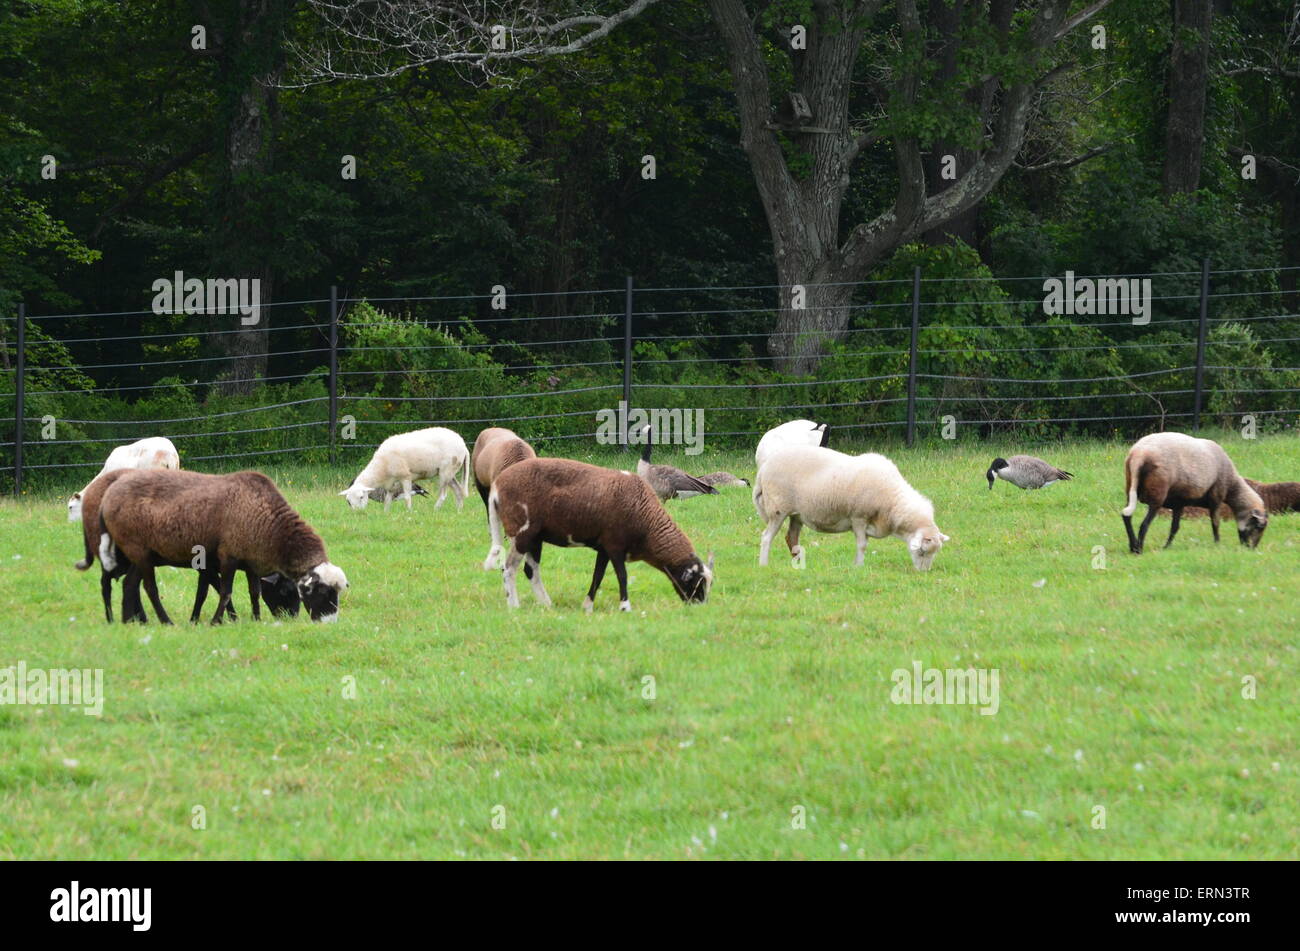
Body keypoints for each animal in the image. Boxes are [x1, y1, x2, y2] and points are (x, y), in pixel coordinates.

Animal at [99, 469, 348, 623]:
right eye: (322, 591)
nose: (328, 623)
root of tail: (108, 496)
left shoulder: (250, 561)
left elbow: (254, 592)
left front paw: (255, 619)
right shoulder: (228, 557)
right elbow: (226, 592)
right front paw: (216, 621)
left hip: (139, 553)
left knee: (130, 584)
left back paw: (127, 621)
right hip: (138, 550)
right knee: (149, 588)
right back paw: (164, 621)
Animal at [486, 457, 714, 612]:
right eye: (696, 582)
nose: (699, 607)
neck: (646, 520)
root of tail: (497, 486)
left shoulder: (604, 547)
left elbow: (598, 576)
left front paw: (587, 606)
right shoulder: (615, 545)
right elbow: (622, 576)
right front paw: (625, 607)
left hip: (535, 537)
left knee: (531, 570)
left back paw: (547, 604)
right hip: (522, 532)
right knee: (508, 568)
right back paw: (514, 606)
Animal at [753, 445, 949, 571]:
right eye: (922, 552)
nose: (923, 572)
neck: (892, 501)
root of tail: (763, 469)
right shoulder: (859, 517)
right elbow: (862, 545)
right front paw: (859, 567)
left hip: (797, 514)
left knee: (791, 537)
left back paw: (798, 562)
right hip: (778, 509)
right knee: (766, 537)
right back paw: (764, 564)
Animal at [1121, 432, 1267, 554]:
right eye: (1259, 526)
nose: (1252, 548)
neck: (1232, 485)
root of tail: (1139, 455)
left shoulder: (1178, 504)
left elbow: (1175, 527)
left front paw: (1167, 547)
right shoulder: (1216, 498)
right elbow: (1215, 523)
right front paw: (1217, 544)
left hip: (1130, 487)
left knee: (1127, 515)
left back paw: (1132, 547)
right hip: (1157, 495)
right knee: (1144, 524)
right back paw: (1139, 549)